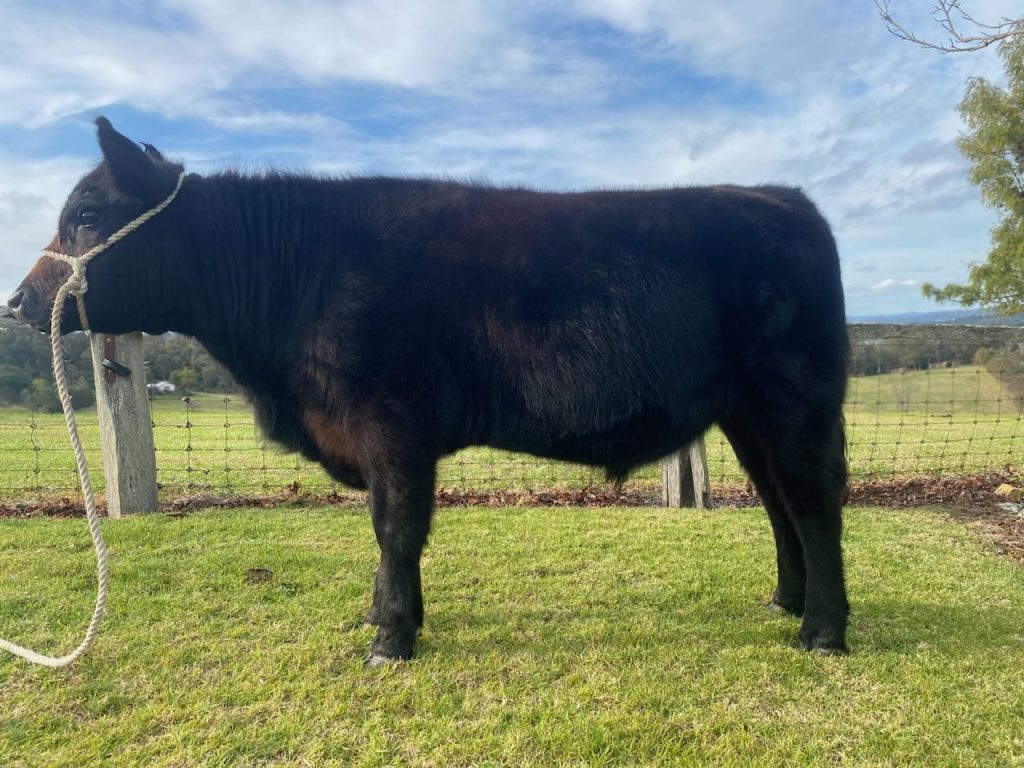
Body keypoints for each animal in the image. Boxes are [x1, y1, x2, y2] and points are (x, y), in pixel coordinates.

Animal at [8, 118, 850, 664]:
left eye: (88, 214)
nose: (17, 300)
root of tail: (784, 200)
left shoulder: (391, 425)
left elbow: (395, 528)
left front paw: (391, 637)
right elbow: (392, 533)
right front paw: (384, 618)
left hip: (797, 401)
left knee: (812, 506)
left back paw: (824, 633)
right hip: (747, 414)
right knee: (780, 507)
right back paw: (786, 603)